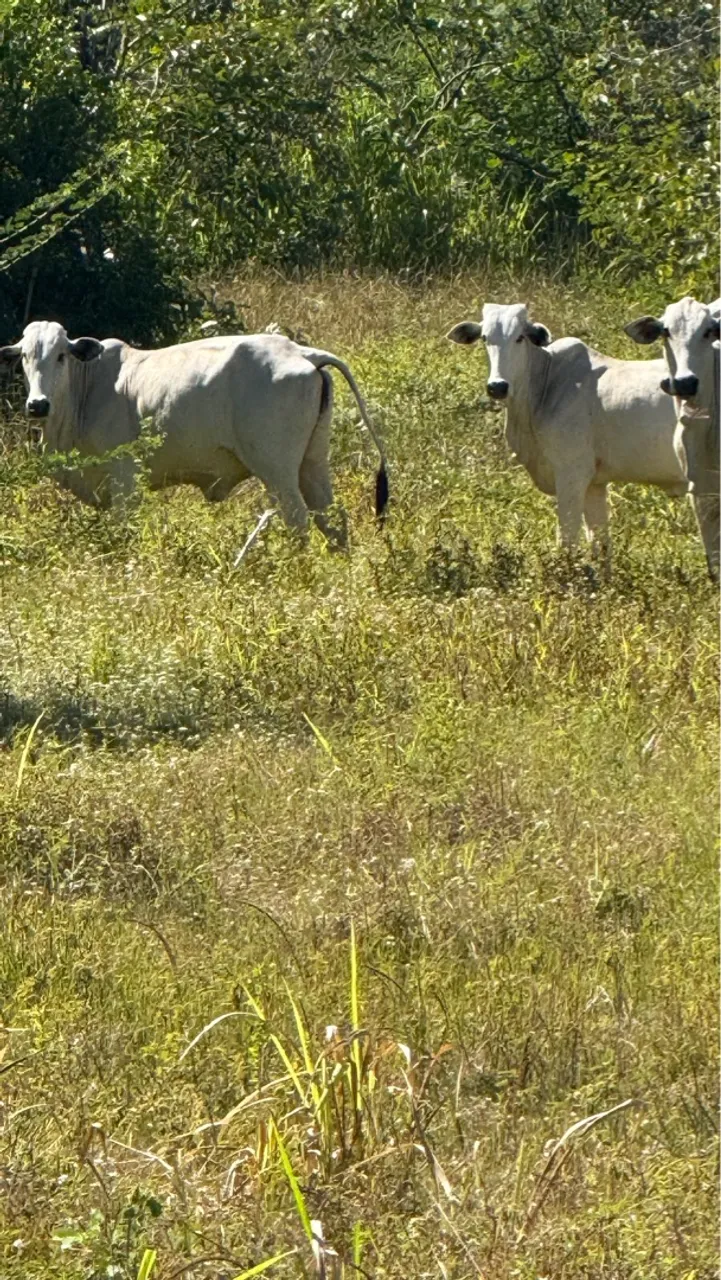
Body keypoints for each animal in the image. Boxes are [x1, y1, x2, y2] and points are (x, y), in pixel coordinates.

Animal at [0, 321, 389, 540]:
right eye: (24, 357)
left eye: (61, 355)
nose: (38, 404)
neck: (88, 387)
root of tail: (303, 353)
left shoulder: (125, 479)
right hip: (313, 463)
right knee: (332, 520)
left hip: (277, 471)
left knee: (299, 522)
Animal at [446, 302, 685, 568]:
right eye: (485, 338)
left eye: (519, 337)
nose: (497, 386)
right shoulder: (595, 484)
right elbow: (601, 548)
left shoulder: (571, 474)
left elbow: (567, 543)